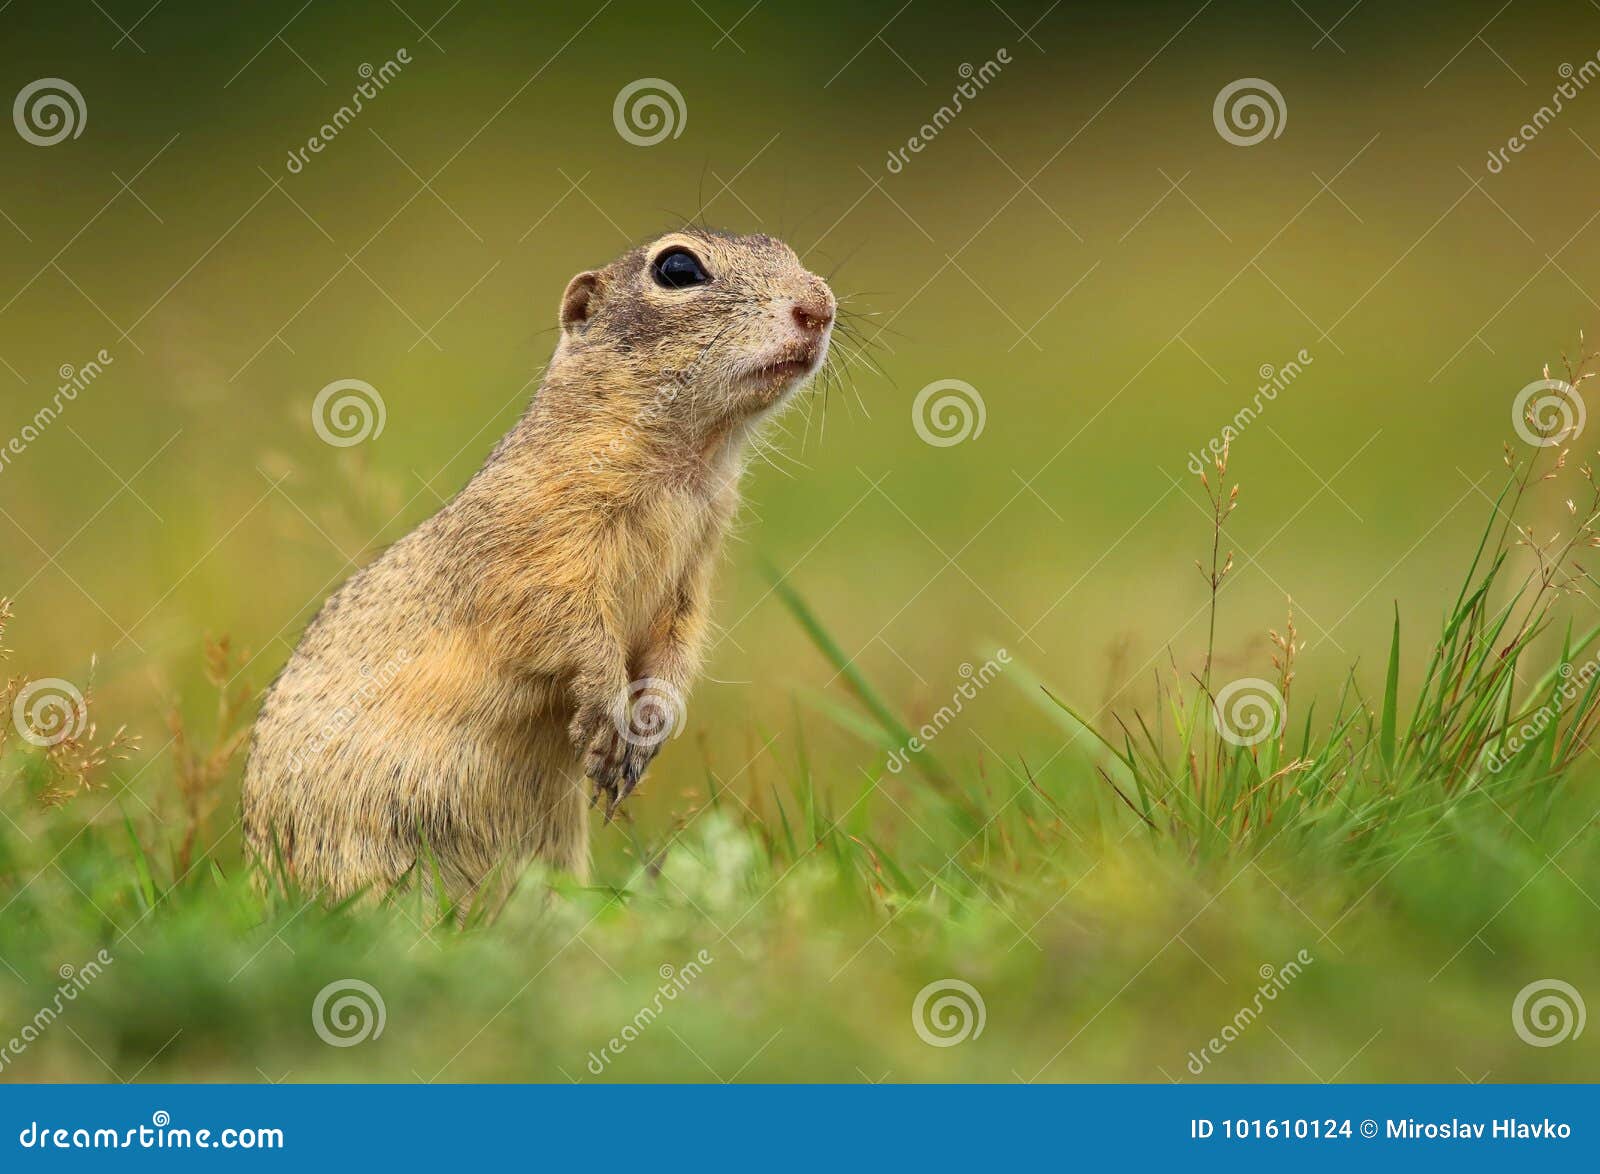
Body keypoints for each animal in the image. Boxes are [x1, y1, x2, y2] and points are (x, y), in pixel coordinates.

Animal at [241, 228, 836, 899]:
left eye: (787, 250)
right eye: (678, 269)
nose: (820, 307)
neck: (689, 462)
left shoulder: (692, 572)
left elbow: (677, 643)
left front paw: (648, 729)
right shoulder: (542, 546)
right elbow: (567, 625)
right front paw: (606, 713)